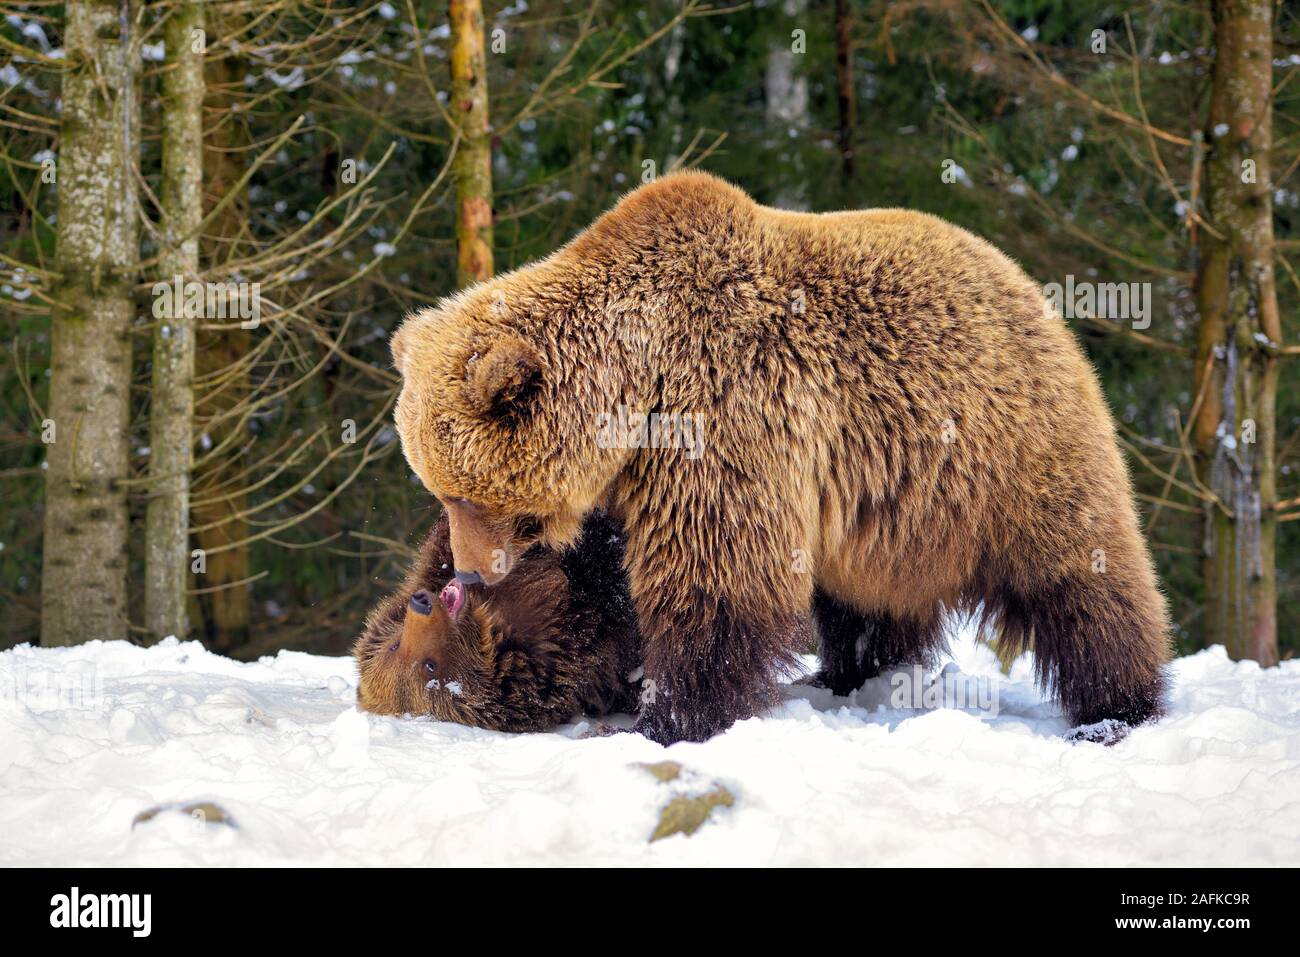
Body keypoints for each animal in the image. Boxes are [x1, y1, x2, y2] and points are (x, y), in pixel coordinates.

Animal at [389, 170, 1172, 745]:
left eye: (467, 495)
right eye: (437, 488)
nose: (469, 572)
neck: (637, 391)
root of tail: (1030, 288)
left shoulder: (723, 415)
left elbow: (716, 577)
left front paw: (665, 719)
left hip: (1009, 452)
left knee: (1082, 577)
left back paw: (1115, 709)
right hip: (895, 512)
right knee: (865, 598)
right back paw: (849, 673)